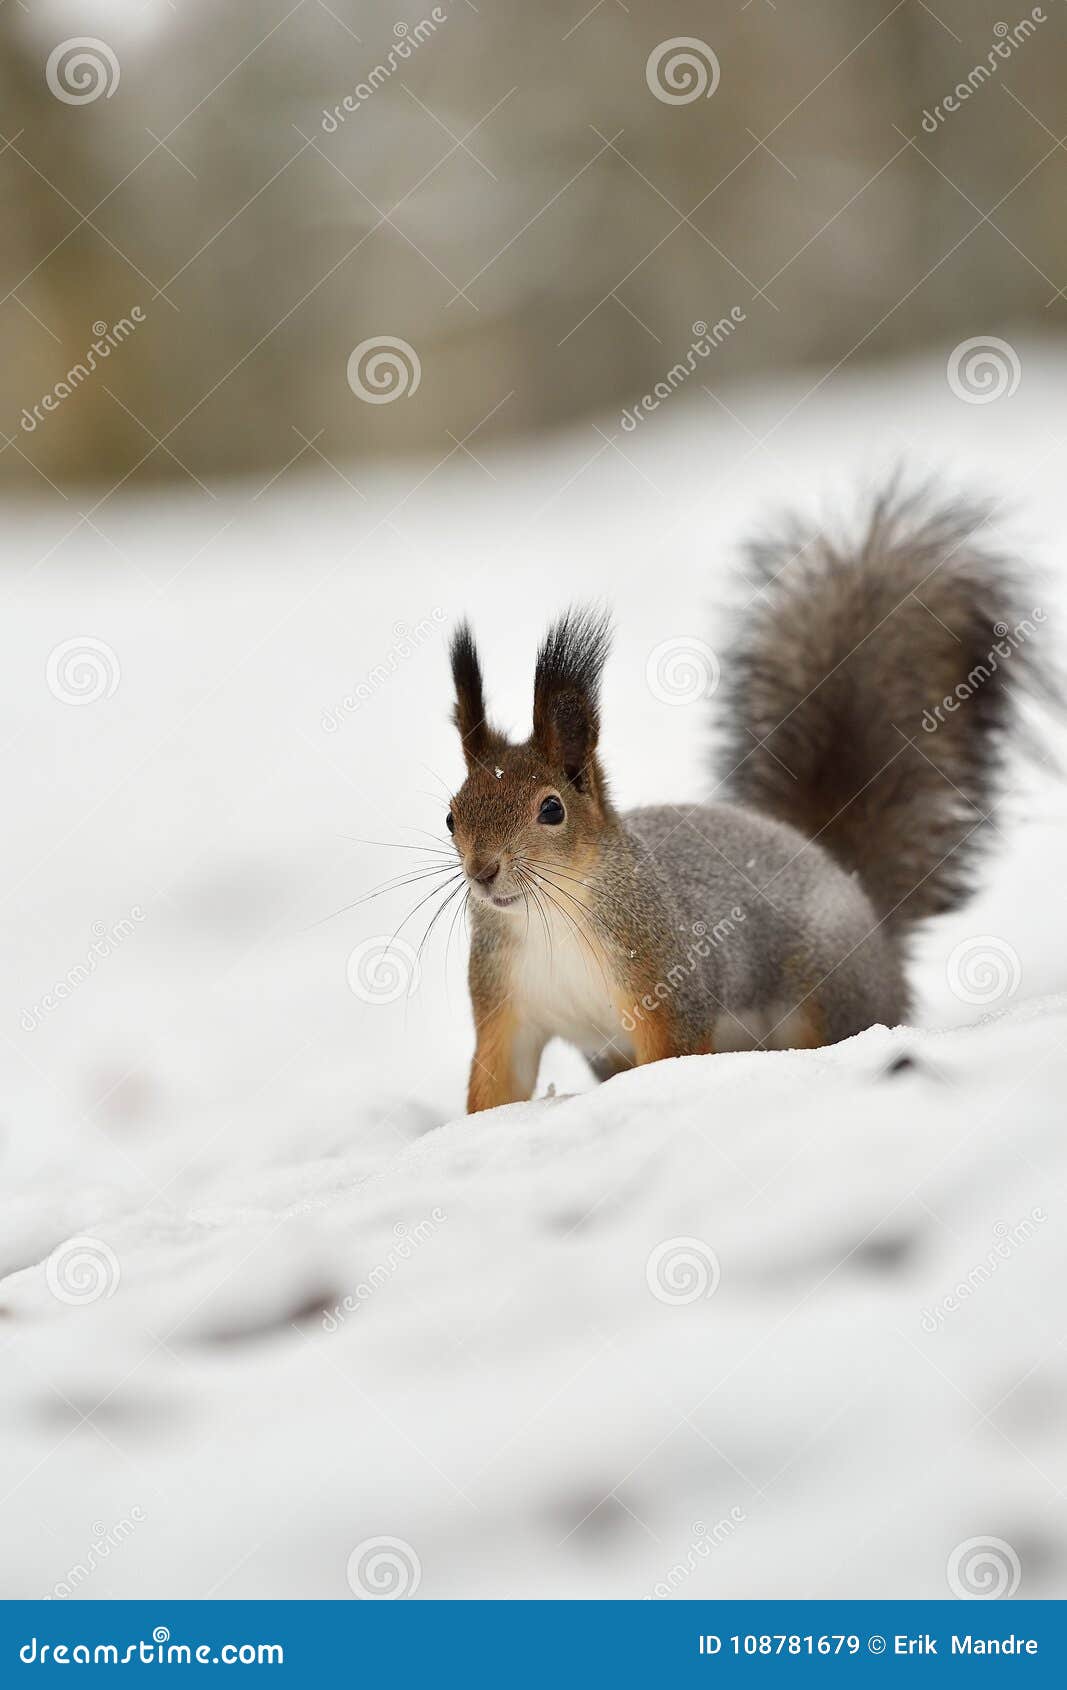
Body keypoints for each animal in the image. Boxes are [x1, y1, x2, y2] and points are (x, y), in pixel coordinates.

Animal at [443, 485, 1052, 1114]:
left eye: (552, 810)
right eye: (451, 816)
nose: (483, 871)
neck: (549, 915)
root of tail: (864, 906)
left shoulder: (670, 986)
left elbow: (673, 1053)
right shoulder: (505, 1006)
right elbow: (497, 1084)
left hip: (828, 990)